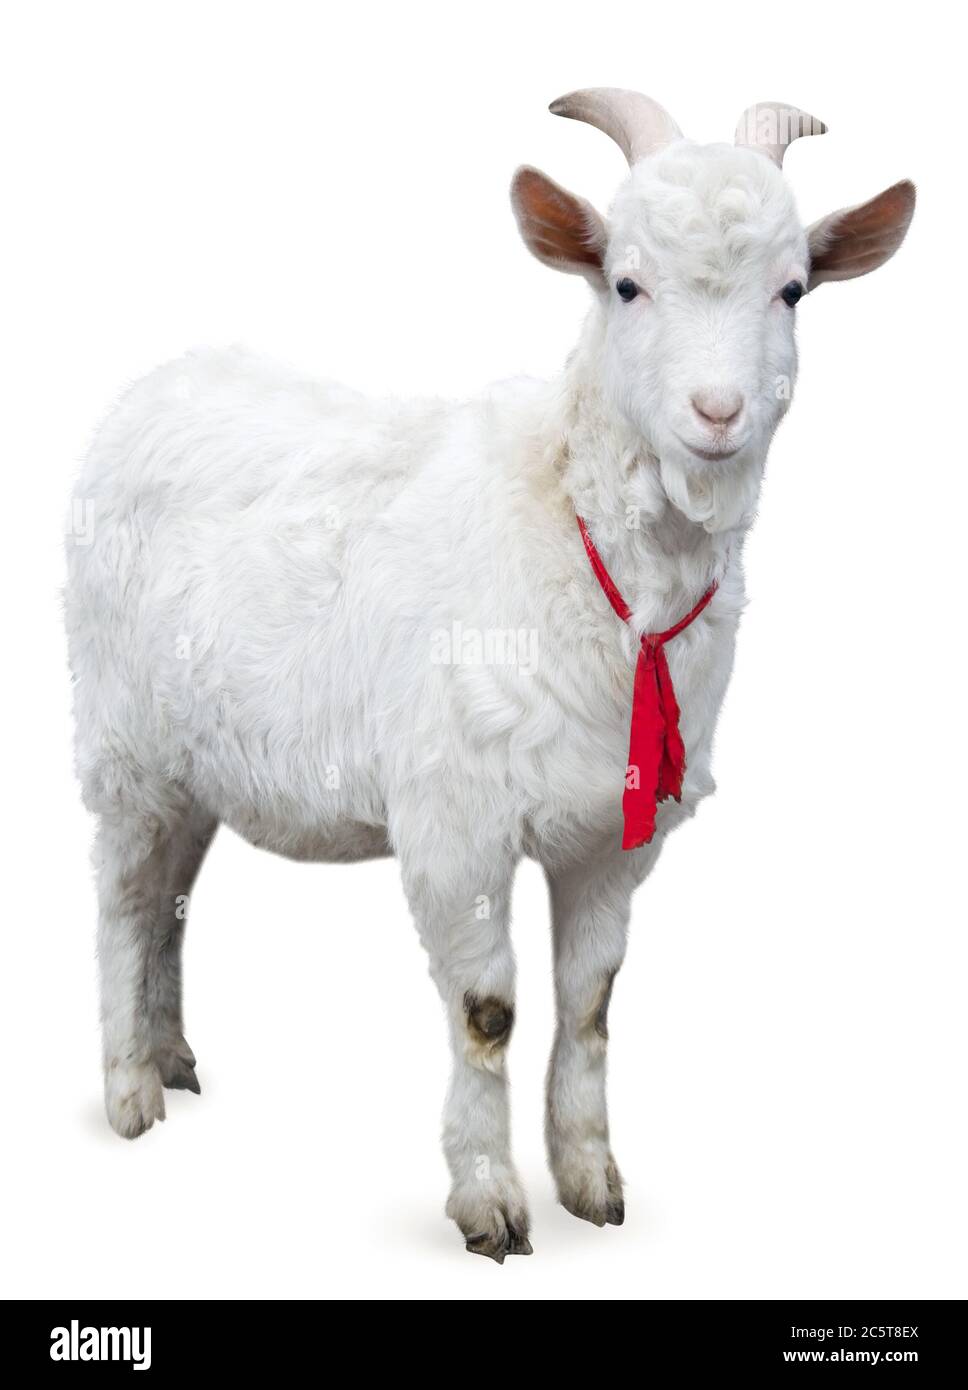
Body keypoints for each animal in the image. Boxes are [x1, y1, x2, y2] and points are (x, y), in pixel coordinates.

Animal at [66, 90, 915, 1262]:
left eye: (792, 289)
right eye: (624, 283)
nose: (716, 412)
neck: (572, 534)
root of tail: (149, 389)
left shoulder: (615, 838)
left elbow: (590, 1003)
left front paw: (591, 1179)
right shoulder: (455, 824)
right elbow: (486, 1012)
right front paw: (490, 1204)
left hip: (199, 764)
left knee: (172, 896)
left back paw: (176, 1055)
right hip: (127, 743)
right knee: (121, 897)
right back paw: (131, 1090)